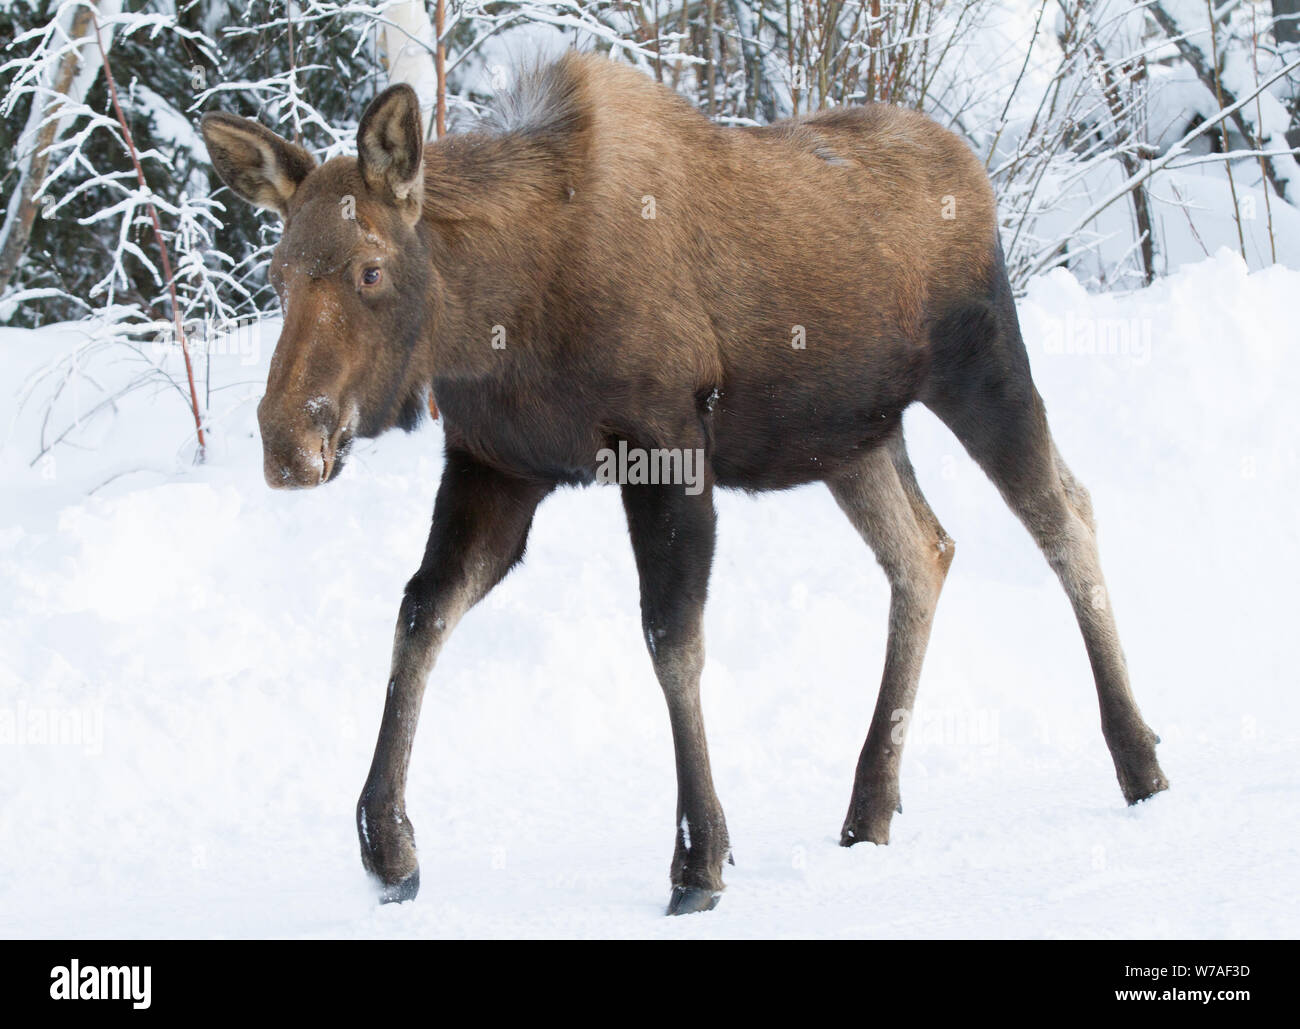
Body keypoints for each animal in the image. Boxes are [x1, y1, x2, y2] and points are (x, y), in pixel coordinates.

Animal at [200, 51, 1168, 916]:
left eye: (369, 268)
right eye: (277, 273)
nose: (286, 439)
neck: (496, 317)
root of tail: (970, 166)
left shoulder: (665, 443)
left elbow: (673, 638)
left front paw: (699, 857)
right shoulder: (498, 465)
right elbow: (418, 614)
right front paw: (388, 843)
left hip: (983, 366)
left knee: (1063, 514)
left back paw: (1140, 758)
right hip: (852, 437)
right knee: (924, 550)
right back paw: (869, 805)